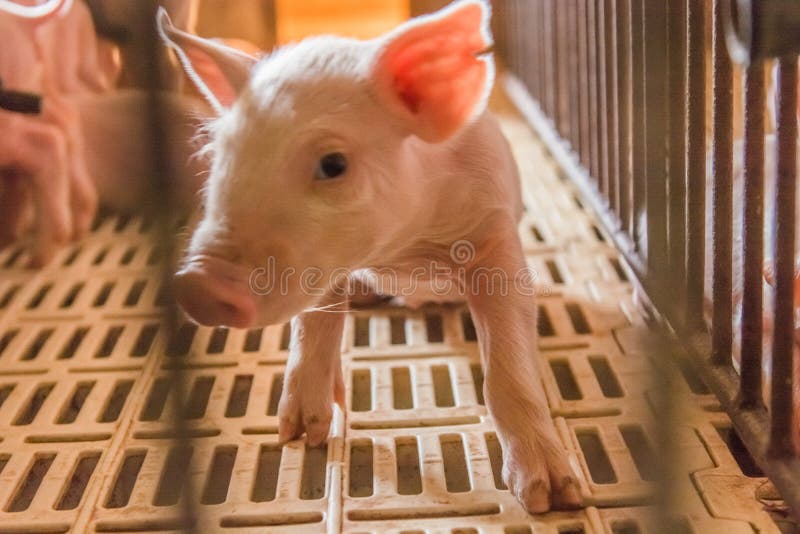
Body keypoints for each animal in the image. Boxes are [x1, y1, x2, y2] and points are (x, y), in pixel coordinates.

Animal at [161, 0, 583, 513]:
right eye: (220, 153)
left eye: (333, 164)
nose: (196, 283)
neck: (403, 251)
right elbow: (313, 326)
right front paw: (299, 435)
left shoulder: (494, 234)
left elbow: (507, 363)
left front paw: (551, 498)